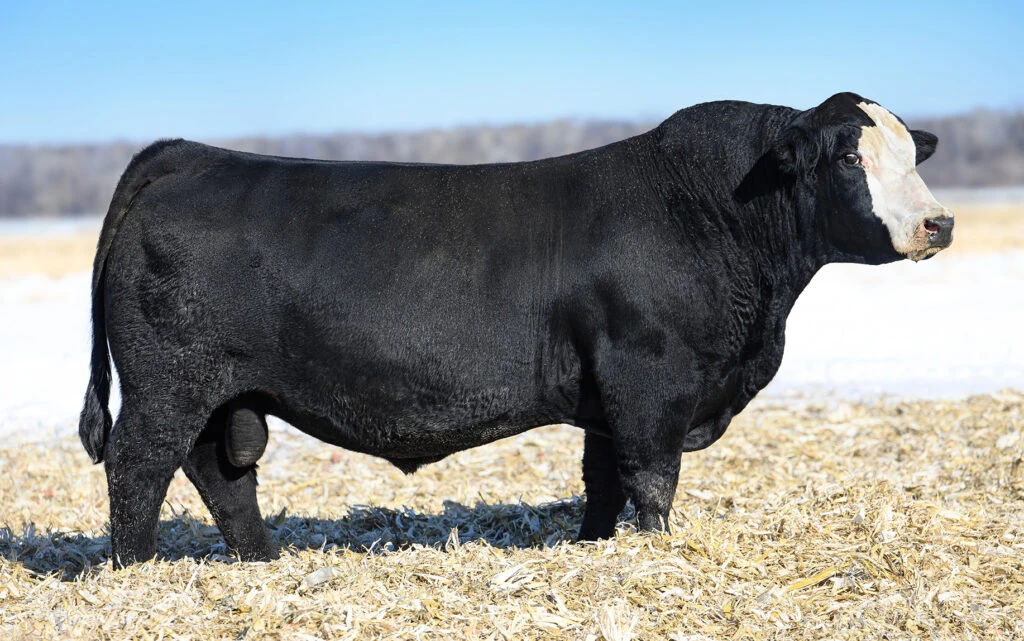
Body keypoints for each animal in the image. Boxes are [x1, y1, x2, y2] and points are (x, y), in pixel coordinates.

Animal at [79, 92, 953, 567]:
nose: (939, 222)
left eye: (912, 154)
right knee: (138, 466)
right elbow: (651, 482)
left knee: (221, 474)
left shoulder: (607, 395)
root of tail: (190, 154)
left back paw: (260, 562)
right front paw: (653, 549)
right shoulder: (651, 381)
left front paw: (597, 548)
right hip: (167, 385)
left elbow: (603, 482)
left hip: (222, 393)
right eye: (849, 158)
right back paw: (138, 572)